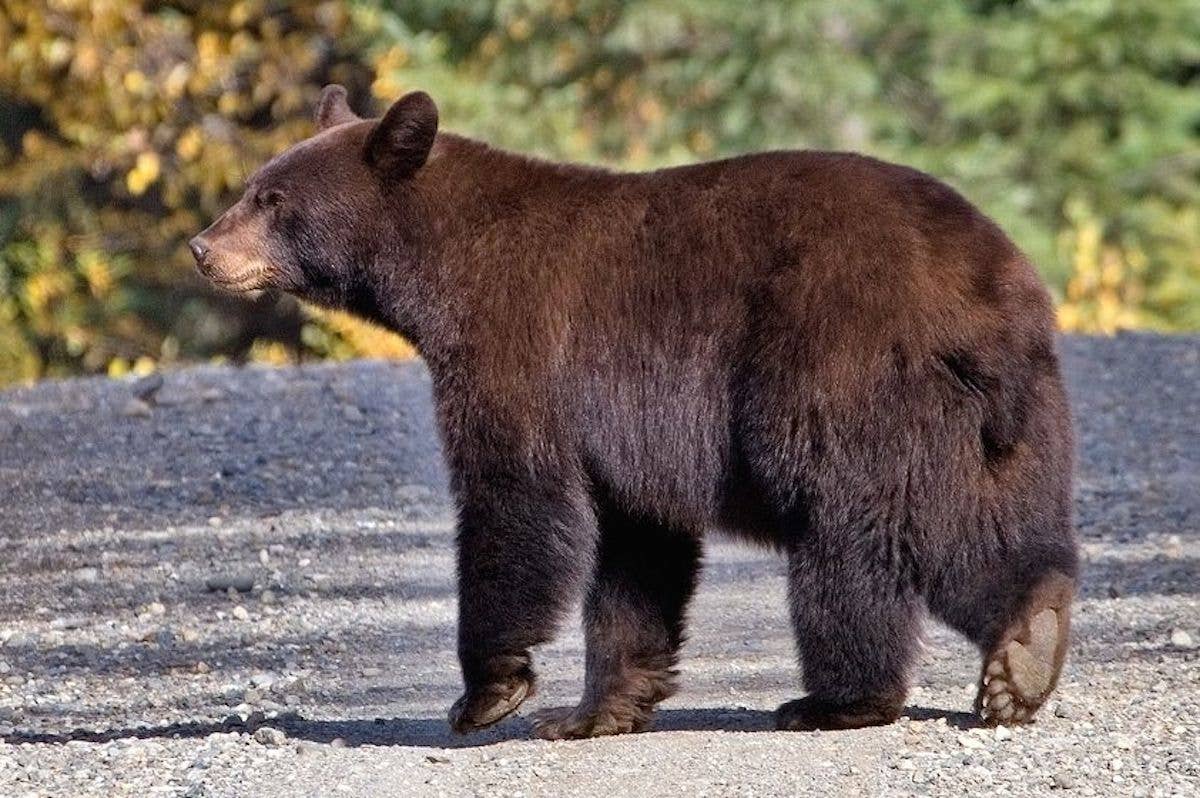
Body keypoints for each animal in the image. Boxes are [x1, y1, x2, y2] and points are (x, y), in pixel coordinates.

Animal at [190, 85, 1078, 739]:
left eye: (272, 199)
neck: (439, 271)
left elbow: (515, 500)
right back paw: (1026, 647)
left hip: (843, 373)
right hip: (1009, 419)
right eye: (251, 189)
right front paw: (596, 709)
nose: (203, 247)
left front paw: (488, 693)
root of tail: (987, 291)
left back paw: (839, 699)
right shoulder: (630, 431)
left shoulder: (519, 349)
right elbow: (636, 552)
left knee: (856, 533)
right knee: (988, 521)